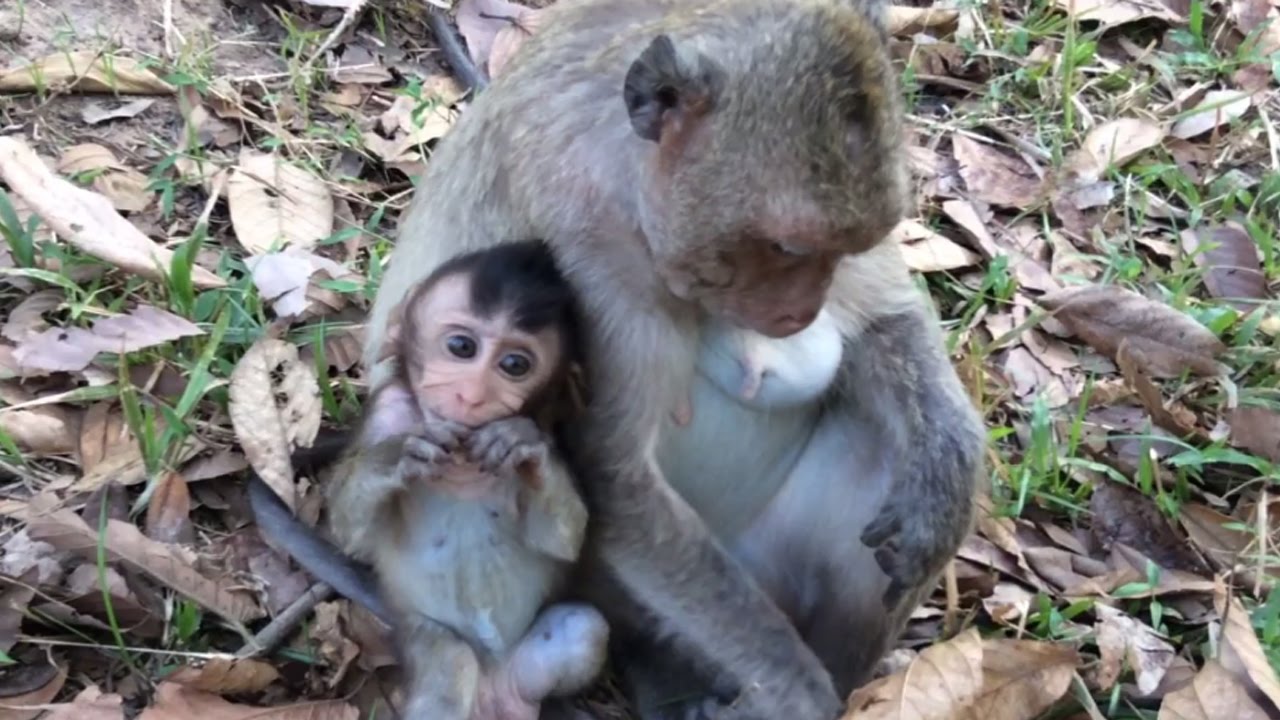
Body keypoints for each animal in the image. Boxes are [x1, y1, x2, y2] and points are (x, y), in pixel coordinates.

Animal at [254, 240, 608, 720]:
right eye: (461, 346)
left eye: (515, 365)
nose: (472, 396)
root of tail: (491, 694)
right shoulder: (387, 412)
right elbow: (353, 535)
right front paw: (399, 455)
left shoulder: (549, 428)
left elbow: (562, 542)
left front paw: (521, 445)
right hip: (421, 634)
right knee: (450, 664)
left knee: (582, 629)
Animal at [340, 0, 987, 717]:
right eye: (789, 248)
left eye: (848, 247)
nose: (802, 313)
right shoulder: (586, 248)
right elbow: (618, 481)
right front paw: (793, 692)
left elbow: (880, 323)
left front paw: (947, 483)